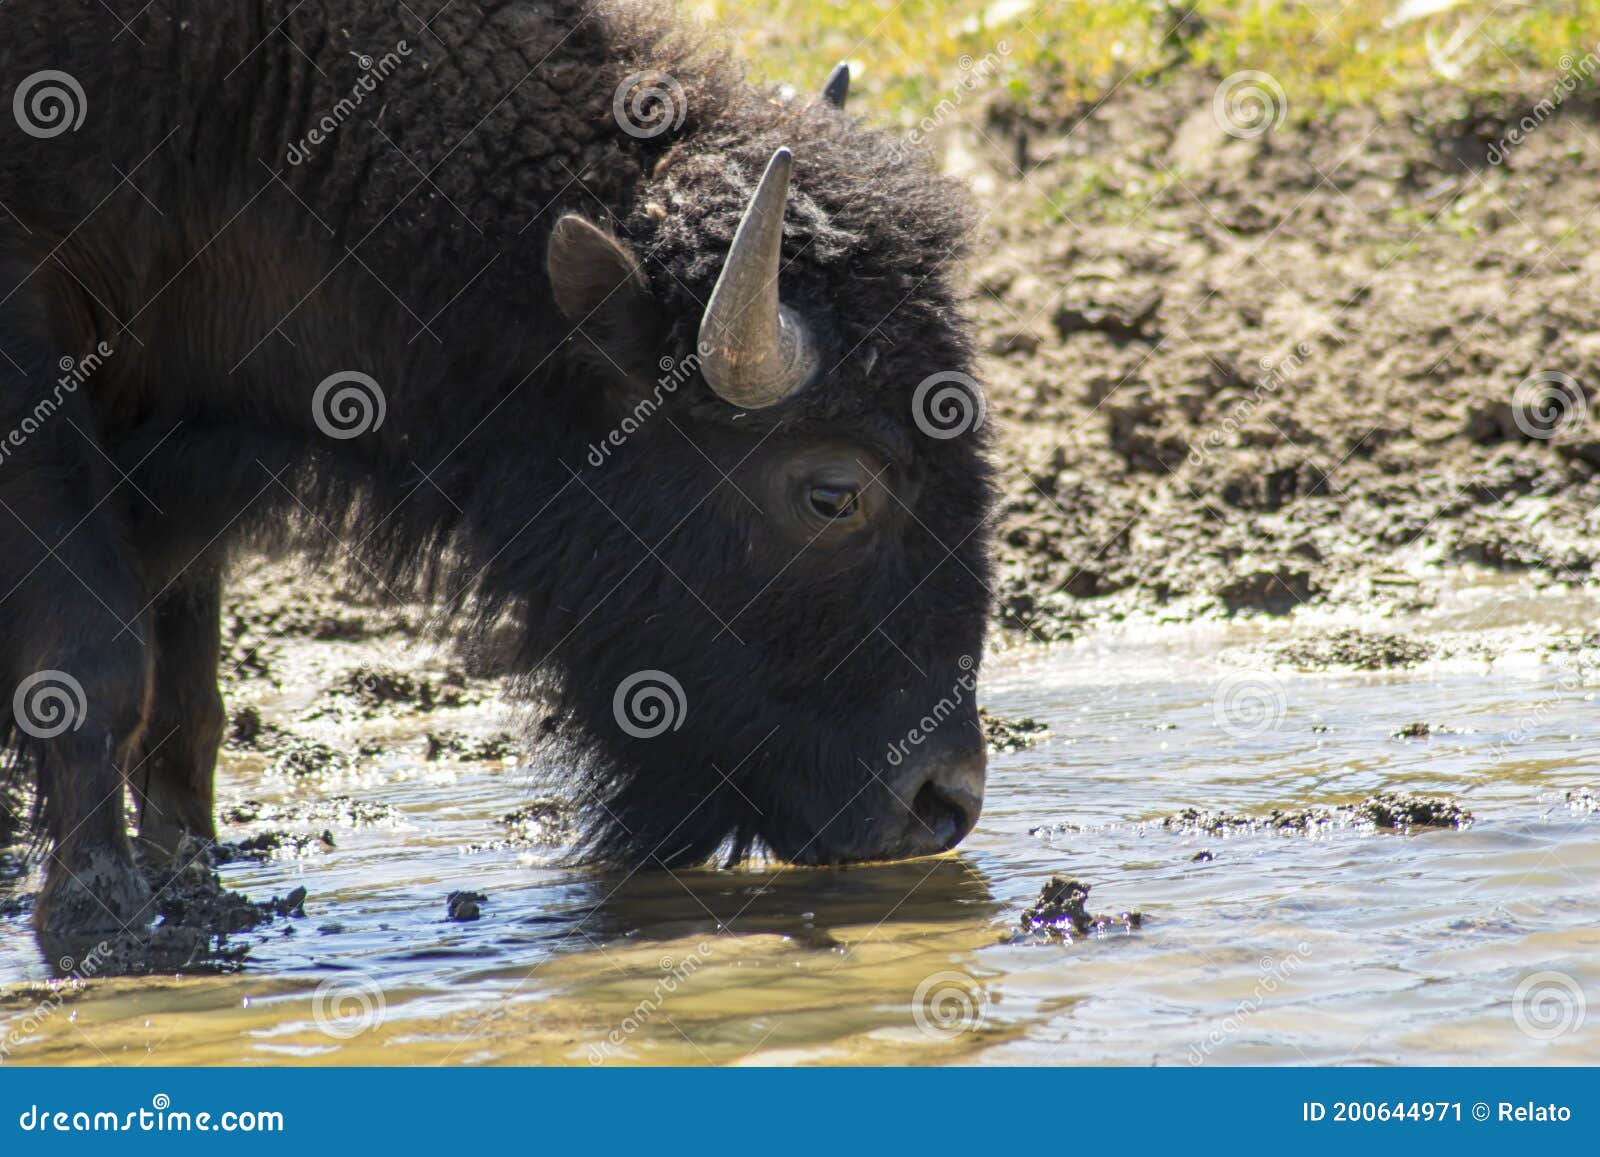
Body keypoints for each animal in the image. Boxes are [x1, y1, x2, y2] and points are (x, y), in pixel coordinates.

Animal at [0, 0, 994, 940]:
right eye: (833, 492)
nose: (942, 799)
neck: (258, 92)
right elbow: (96, 665)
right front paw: (100, 912)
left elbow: (186, 700)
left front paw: (192, 878)